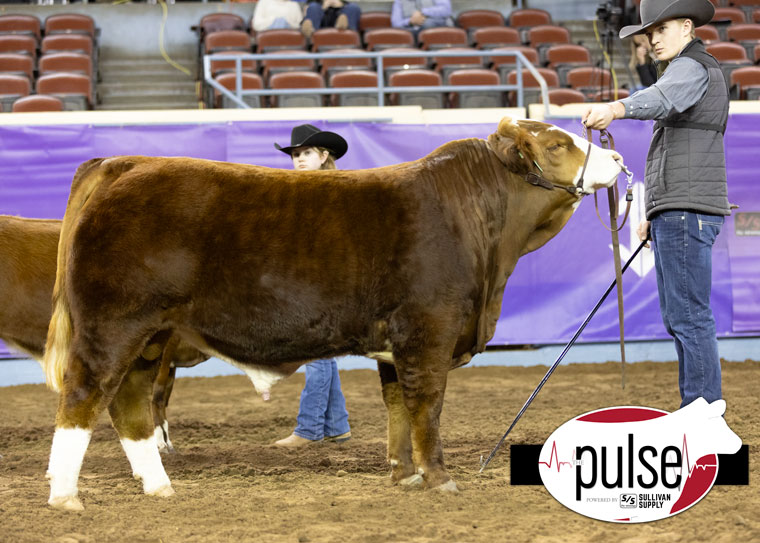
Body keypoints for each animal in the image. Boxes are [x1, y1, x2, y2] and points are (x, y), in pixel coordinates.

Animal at [42, 117, 627, 511]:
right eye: (556, 144)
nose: (618, 160)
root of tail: (123, 163)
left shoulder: (394, 344)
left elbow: (397, 407)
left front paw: (403, 475)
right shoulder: (429, 329)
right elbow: (428, 406)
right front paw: (440, 479)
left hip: (151, 337)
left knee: (131, 404)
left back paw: (159, 486)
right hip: (113, 323)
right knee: (83, 396)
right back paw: (66, 495)